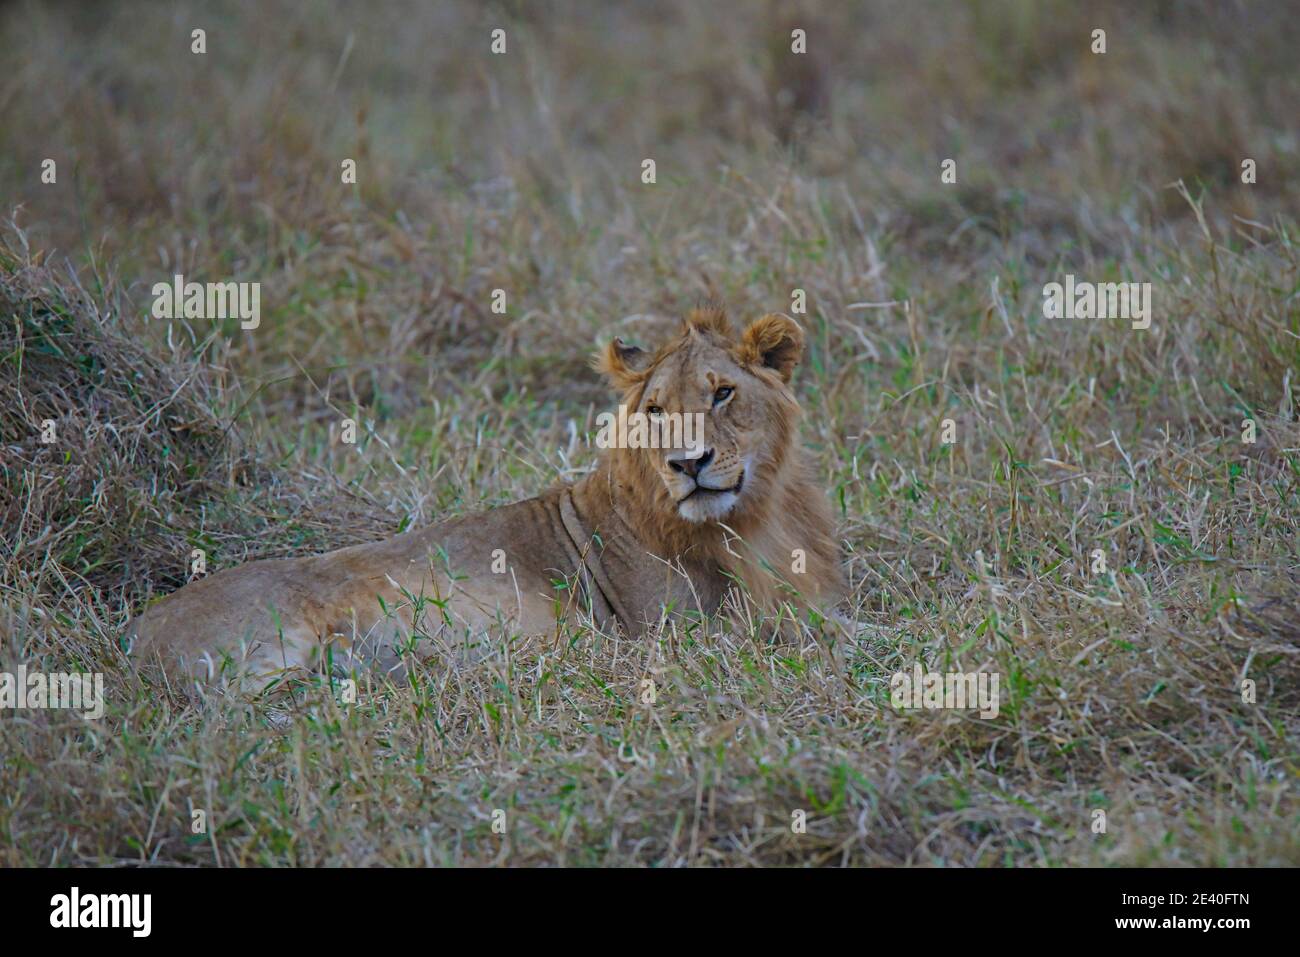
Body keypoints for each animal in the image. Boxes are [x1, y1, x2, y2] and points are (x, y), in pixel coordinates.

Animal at [127, 306, 845, 684]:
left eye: (722, 393)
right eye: (658, 411)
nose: (688, 463)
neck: (754, 520)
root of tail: (135, 633)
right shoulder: (677, 631)